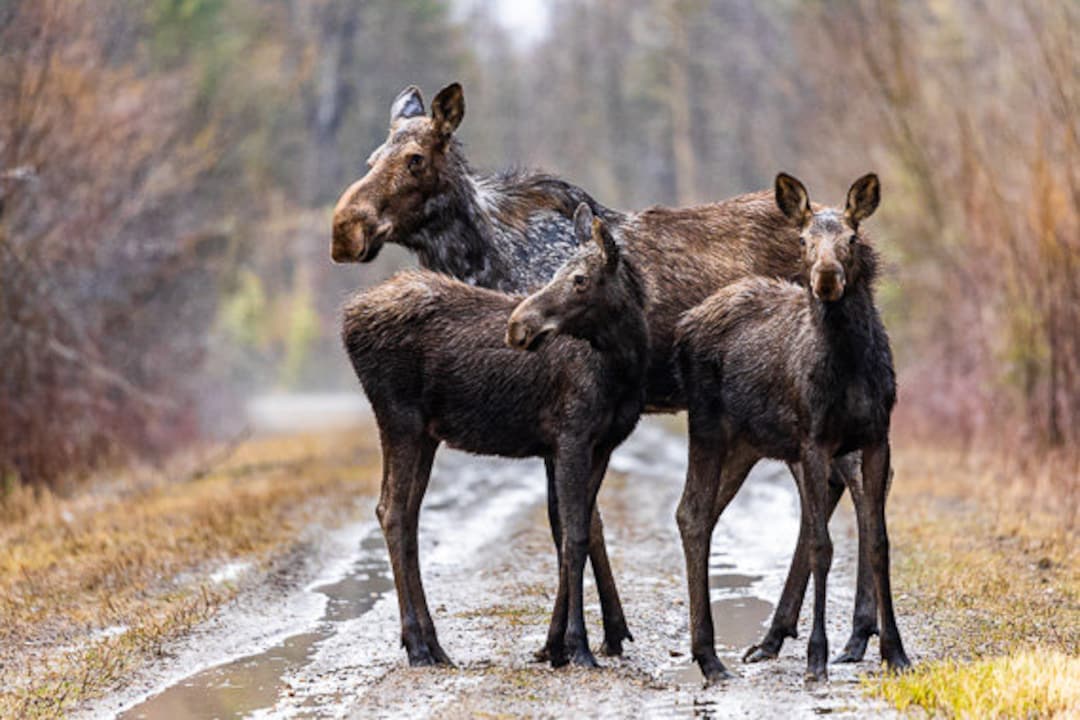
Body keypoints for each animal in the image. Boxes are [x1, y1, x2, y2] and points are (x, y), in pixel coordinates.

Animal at [342, 204, 649, 668]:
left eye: (580, 278)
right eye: (559, 273)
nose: (519, 326)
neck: (622, 371)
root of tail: (346, 320)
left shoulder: (601, 445)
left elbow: (576, 531)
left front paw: (556, 645)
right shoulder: (571, 435)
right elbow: (575, 535)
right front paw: (577, 646)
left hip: (425, 433)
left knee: (405, 513)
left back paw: (433, 645)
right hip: (398, 418)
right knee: (391, 511)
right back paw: (417, 645)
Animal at [672, 173, 911, 683]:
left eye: (852, 237)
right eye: (803, 240)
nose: (826, 278)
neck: (850, 370)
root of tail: (684, 324)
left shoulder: (876, 436)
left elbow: (877, 540)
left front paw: (895, 652)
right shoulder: (816, 438)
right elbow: (823, 544)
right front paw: (817, 658)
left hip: (750, 444)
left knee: (703, 513)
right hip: (709, 426)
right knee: (692, 513)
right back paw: (709, 656)